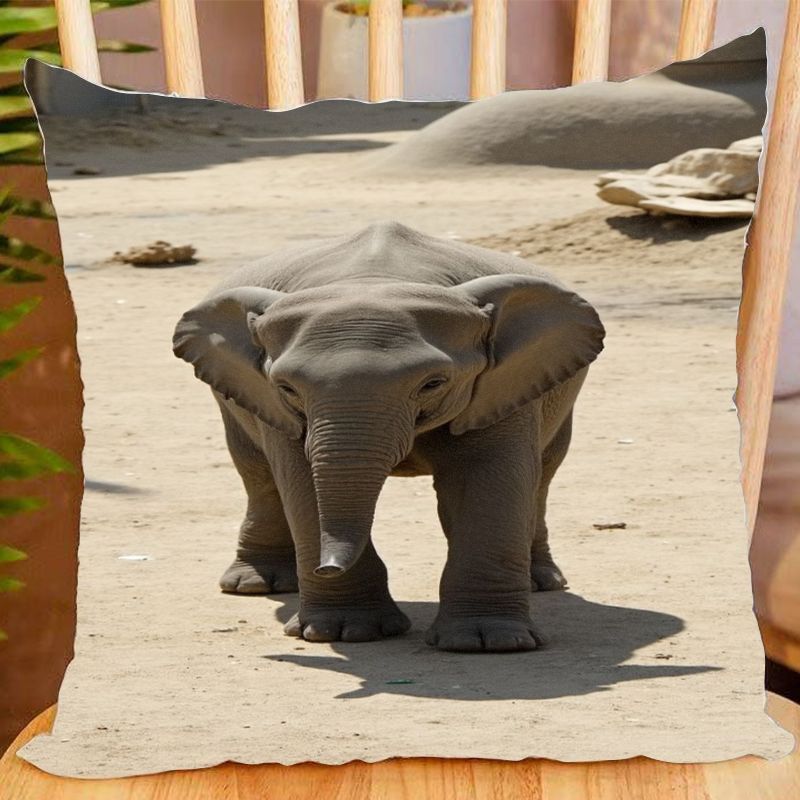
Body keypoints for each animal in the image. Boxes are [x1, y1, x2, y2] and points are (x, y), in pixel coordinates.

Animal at [173, 221, 605, 652]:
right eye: (287, 388)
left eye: (433, 383)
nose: (326, 566)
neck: (375, 278)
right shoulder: (275, 404)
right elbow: (301, 482)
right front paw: (343, 632)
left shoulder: (501, 386)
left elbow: (488, 480)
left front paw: (488, 642)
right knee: (257, 473)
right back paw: (253, 585)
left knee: (543, 472)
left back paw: (541, 582)